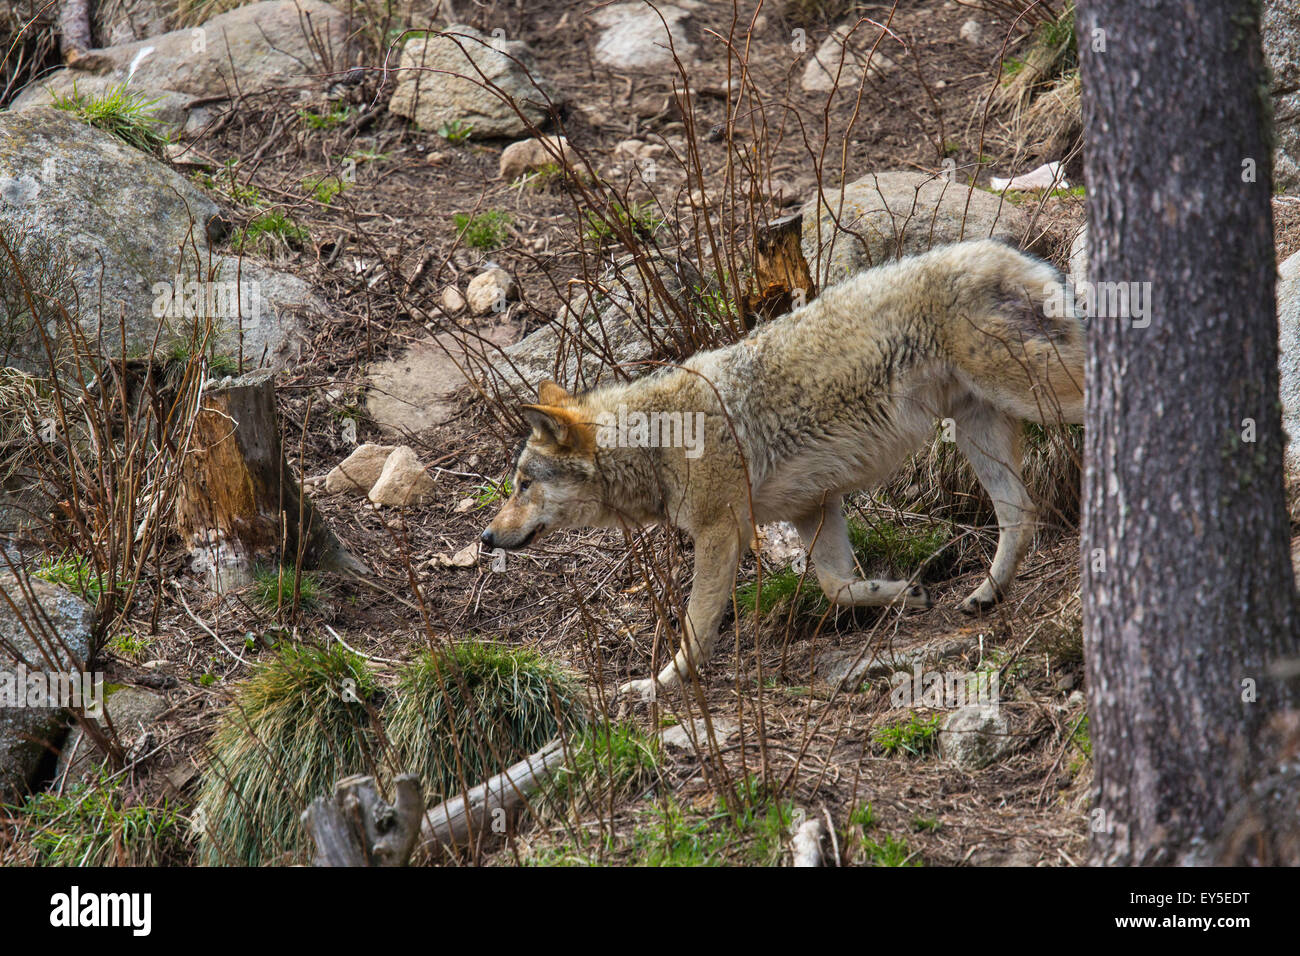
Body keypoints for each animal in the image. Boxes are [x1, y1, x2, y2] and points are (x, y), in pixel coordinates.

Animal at [481, 240, 1085, 700]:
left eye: (524, 485)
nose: (486, 537)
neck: (655, 444)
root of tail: (1011, 252)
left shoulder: (720, 533)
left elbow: (694, 629)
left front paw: (659, 687)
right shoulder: (813, 507)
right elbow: (840, 587)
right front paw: (906, 592)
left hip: (1037, 395)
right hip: (983, 431)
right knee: (1020, 512)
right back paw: (987, 593)